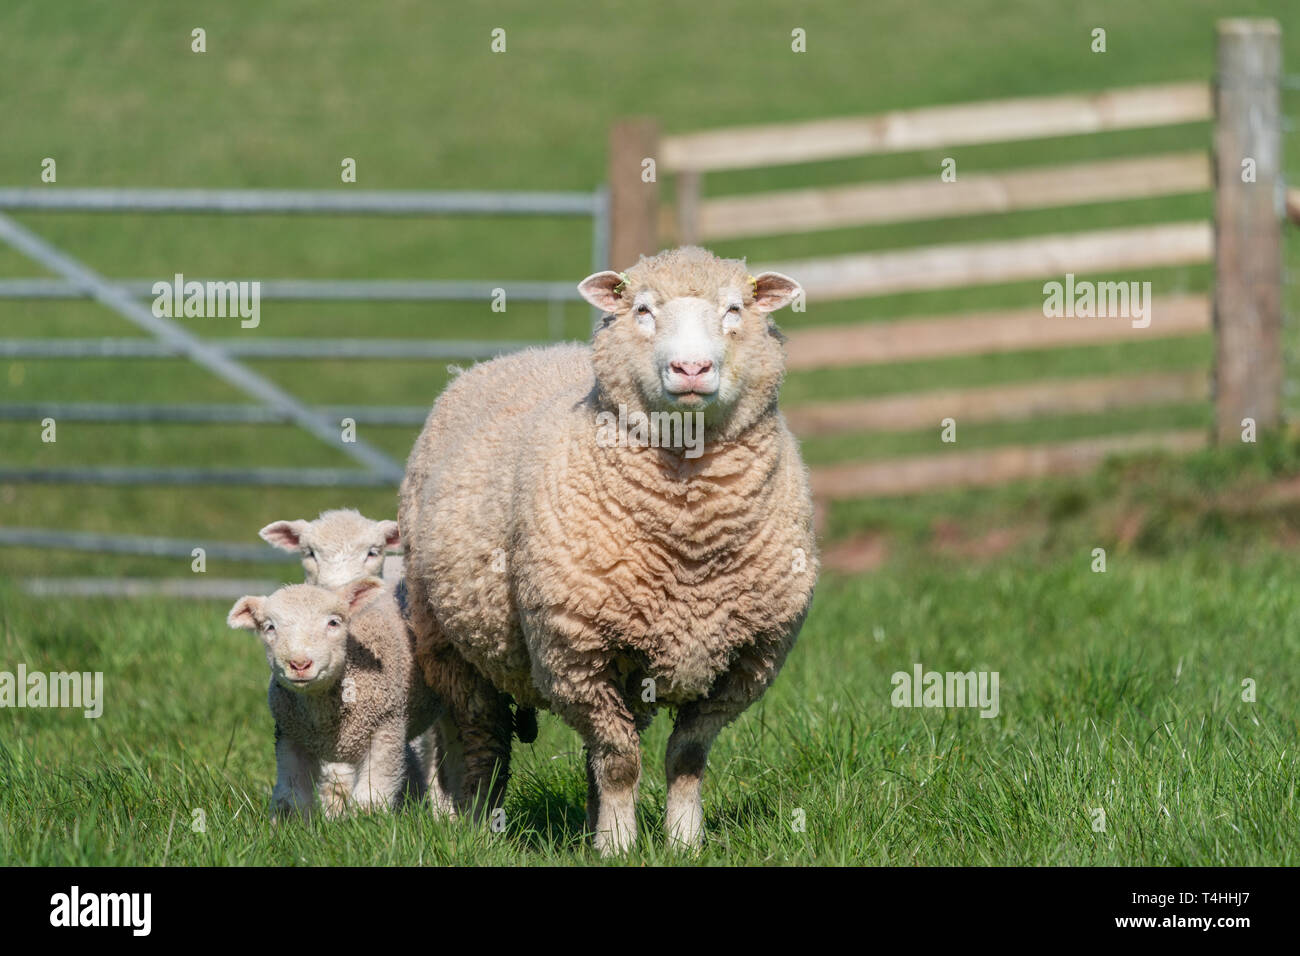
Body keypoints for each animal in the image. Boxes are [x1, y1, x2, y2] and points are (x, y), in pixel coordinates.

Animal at [227, 577, 444, 819]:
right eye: (269, 627)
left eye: (333, 622)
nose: (300, 664)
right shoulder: (290, 737)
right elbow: (291, 799)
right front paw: (288, 826)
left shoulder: (385, 729)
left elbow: (369, 797)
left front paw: (368, 822)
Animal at [399, 246, 819, 853]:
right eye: (642, 310)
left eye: (734, 309)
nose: (691, 369)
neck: (689, 543)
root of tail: (525, 353)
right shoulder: (576, 653)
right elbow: (620, 762)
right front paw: (620, 846)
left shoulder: (747, 659)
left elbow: (684, 757)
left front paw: (682, 842)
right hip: (451, 645)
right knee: (480, 745)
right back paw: (474, 825)